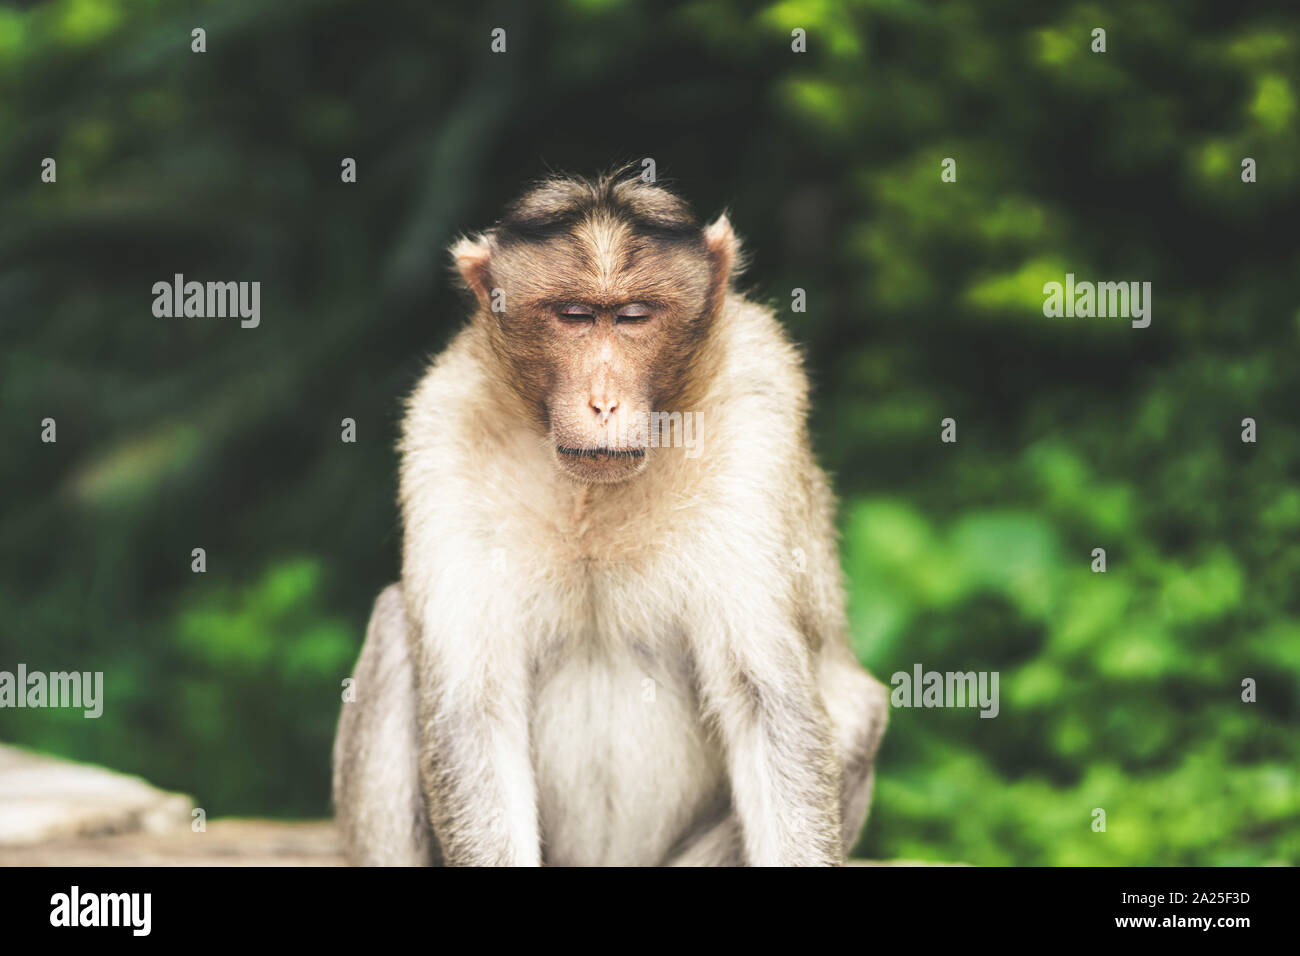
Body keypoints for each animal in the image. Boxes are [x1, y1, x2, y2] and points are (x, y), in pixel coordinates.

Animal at [332, 167, 888, 866]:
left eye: (632, 317)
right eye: (573, 316)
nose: (603, 402)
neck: (589, 501)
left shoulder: (755, 406)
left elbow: (770, 705)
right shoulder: (443, 420)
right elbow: (472, 713)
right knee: (394, 624)